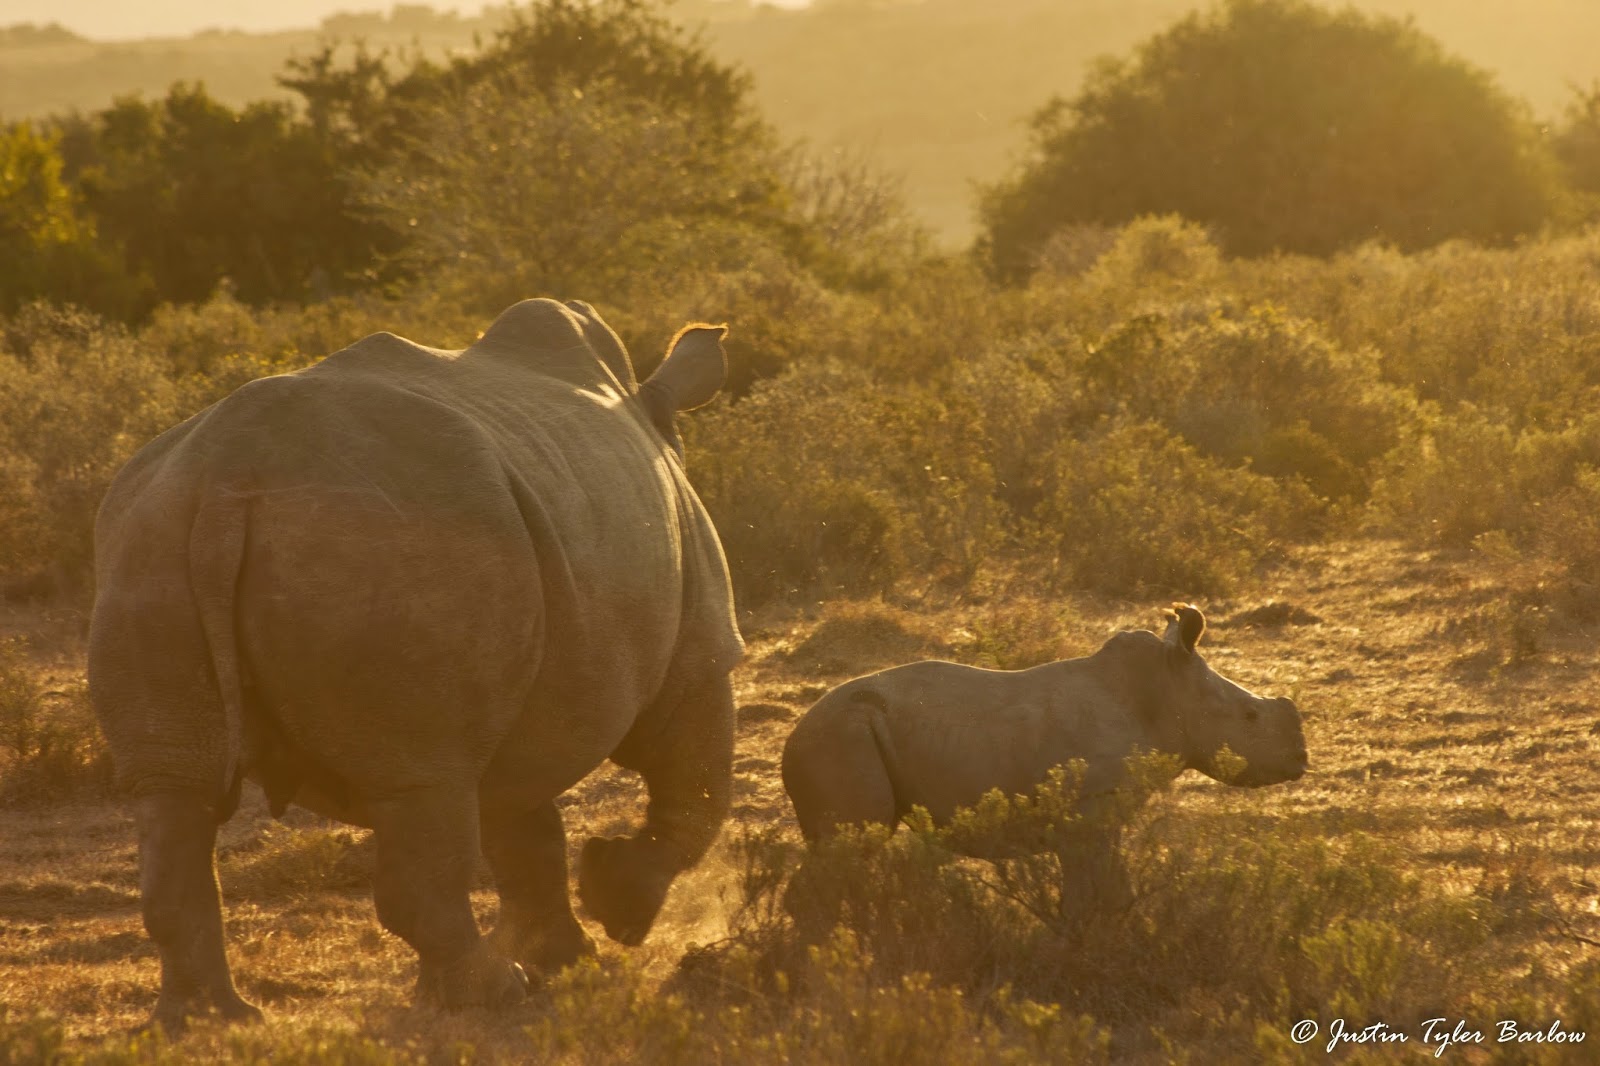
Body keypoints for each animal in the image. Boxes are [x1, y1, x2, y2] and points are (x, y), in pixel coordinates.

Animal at [88, 299, 743, 1031]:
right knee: (424, 782)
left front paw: (568, 961)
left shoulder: (521, 691)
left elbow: (527, 832)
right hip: (388, 550)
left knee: (177, 789)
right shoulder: (703, 652)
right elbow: (695, 788)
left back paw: (212, 1021)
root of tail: (225, 481)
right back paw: (494, 992)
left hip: (148, 538)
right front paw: (616, 906)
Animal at [781, 605, 1307, 844]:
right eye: (1250, 717)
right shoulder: (1092, 804)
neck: (1161, 689)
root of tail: (791, 739)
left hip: (846, 735)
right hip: (841, 739)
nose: (1302, 761)